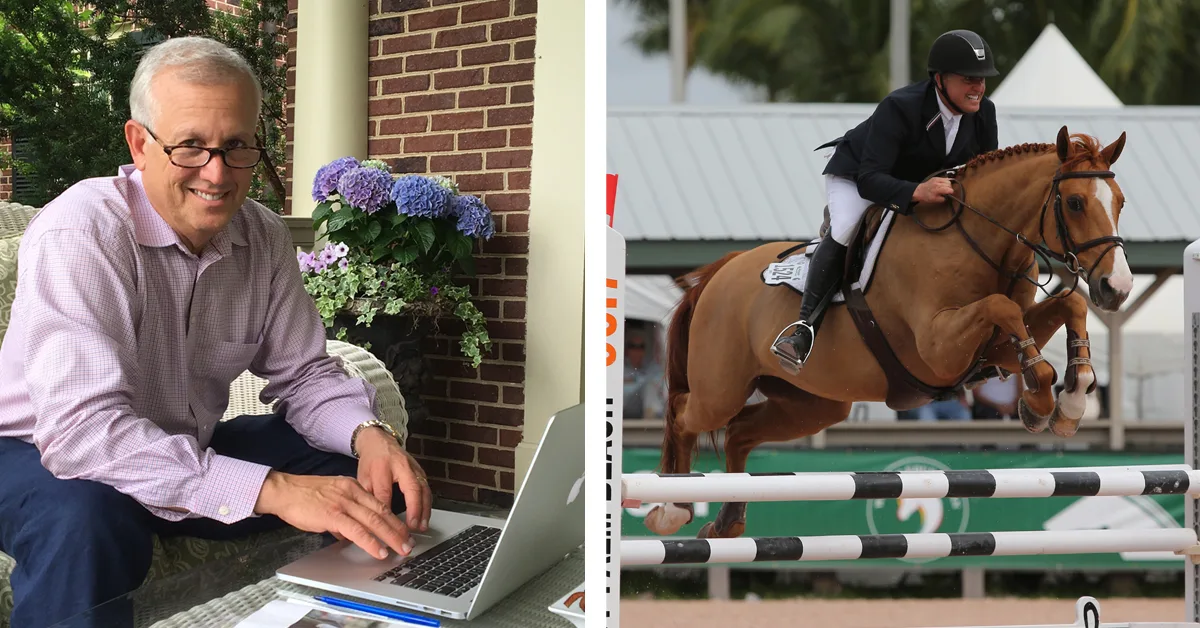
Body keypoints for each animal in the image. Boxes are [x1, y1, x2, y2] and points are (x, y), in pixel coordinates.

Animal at [644, 126, 1132, 540]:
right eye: (1075, 203)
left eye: (1120, 202)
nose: (1117, 288)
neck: (979, 242)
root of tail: (723, 269)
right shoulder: (938, 349)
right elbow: (1002, 306)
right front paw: (1040, 400)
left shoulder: (990, 350)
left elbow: (1066, 304)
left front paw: (1068, 401)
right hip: (720, 389)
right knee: (684, 412)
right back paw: (670, 508)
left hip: (814, 405)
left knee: (741, 432)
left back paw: (727, 521)